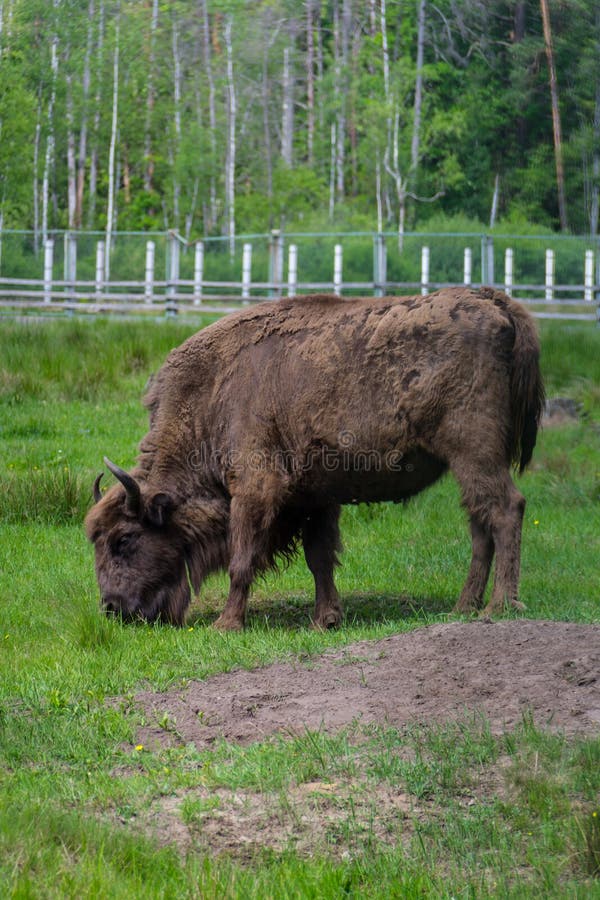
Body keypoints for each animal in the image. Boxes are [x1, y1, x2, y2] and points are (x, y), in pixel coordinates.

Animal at [86, 287, 544, 629]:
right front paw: (326, 619)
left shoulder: (254, 491)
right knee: (480, 523)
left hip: (474, 451)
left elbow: (241, 559)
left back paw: (500, 605)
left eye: (124, 539)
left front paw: (226, 624)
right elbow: (319, 557)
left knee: (506, 510)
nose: (111, 608)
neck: (212, 393)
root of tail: (494, 302)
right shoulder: (315, 498)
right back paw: (463, 607)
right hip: (466, 464)